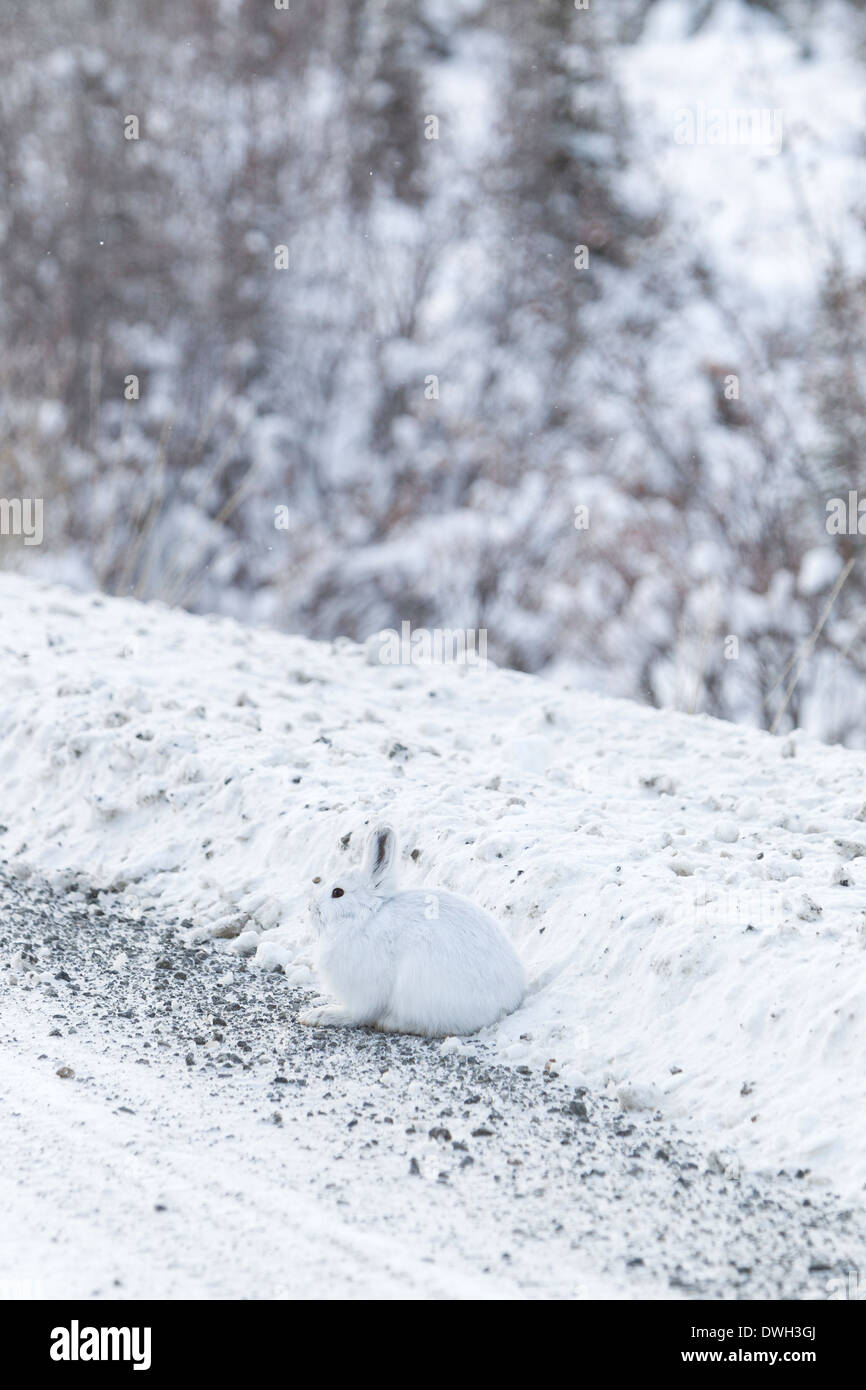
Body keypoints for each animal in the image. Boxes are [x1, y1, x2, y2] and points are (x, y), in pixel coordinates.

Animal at [299, 825, 525, 1037]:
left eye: (338, 893)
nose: (310, 908)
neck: (367, 916)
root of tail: (507, 1005)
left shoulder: (364, 987)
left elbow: (358, 1012)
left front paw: (321, 1014)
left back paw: (390, 1022)